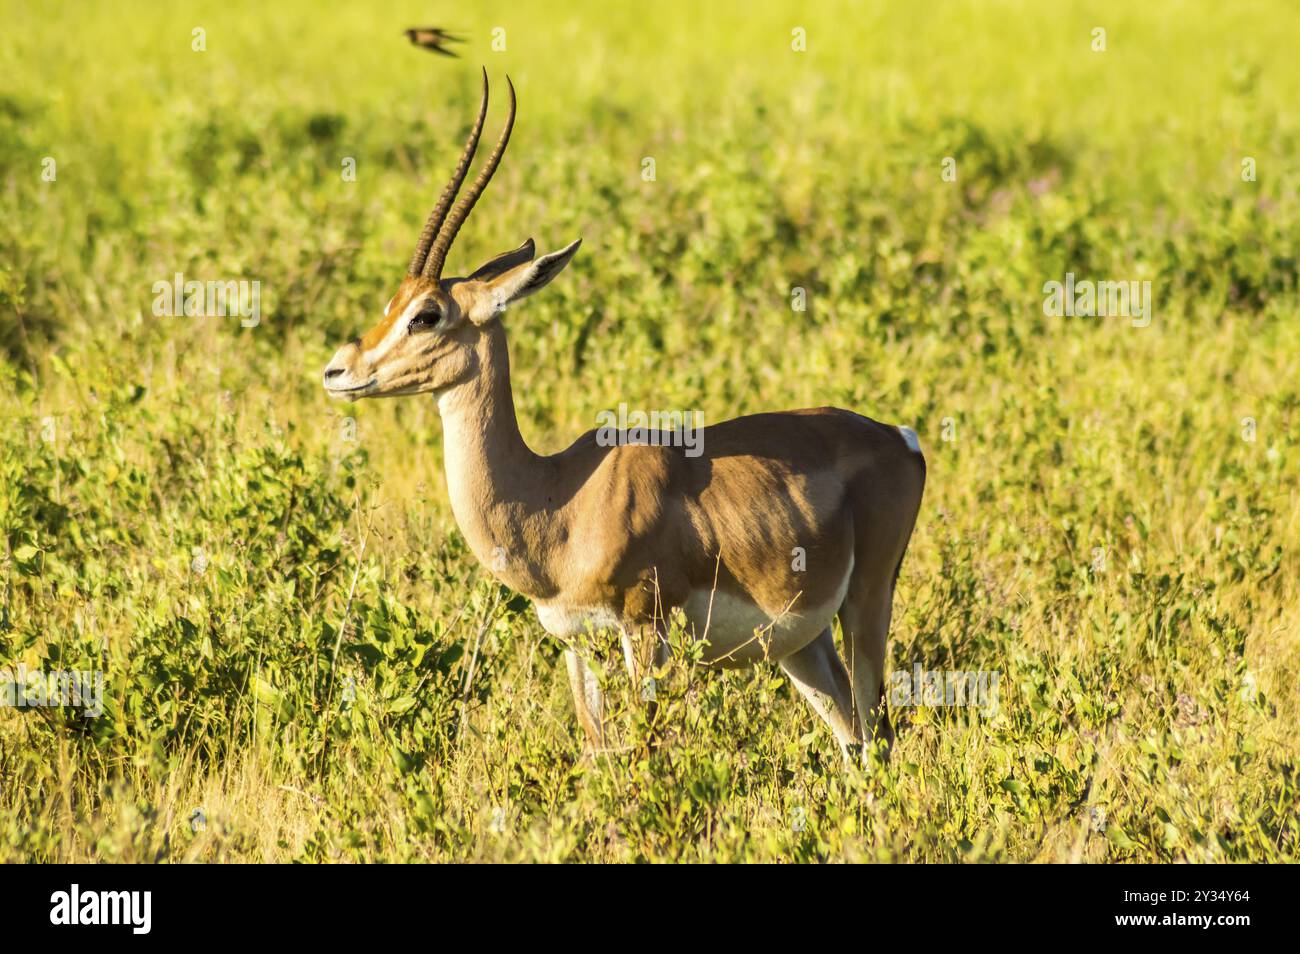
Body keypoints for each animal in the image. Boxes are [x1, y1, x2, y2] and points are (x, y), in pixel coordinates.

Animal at [323, 70, 927, 760]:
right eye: (391, 302)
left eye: (426, 313)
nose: (338, 370)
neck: (558, 501)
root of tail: (900, 437)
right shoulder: (573, 639)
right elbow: (596, 748)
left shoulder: (644, 631)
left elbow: (644, 748)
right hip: (802, 641)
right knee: (855, 739)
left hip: (867, 605)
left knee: (880, 730)